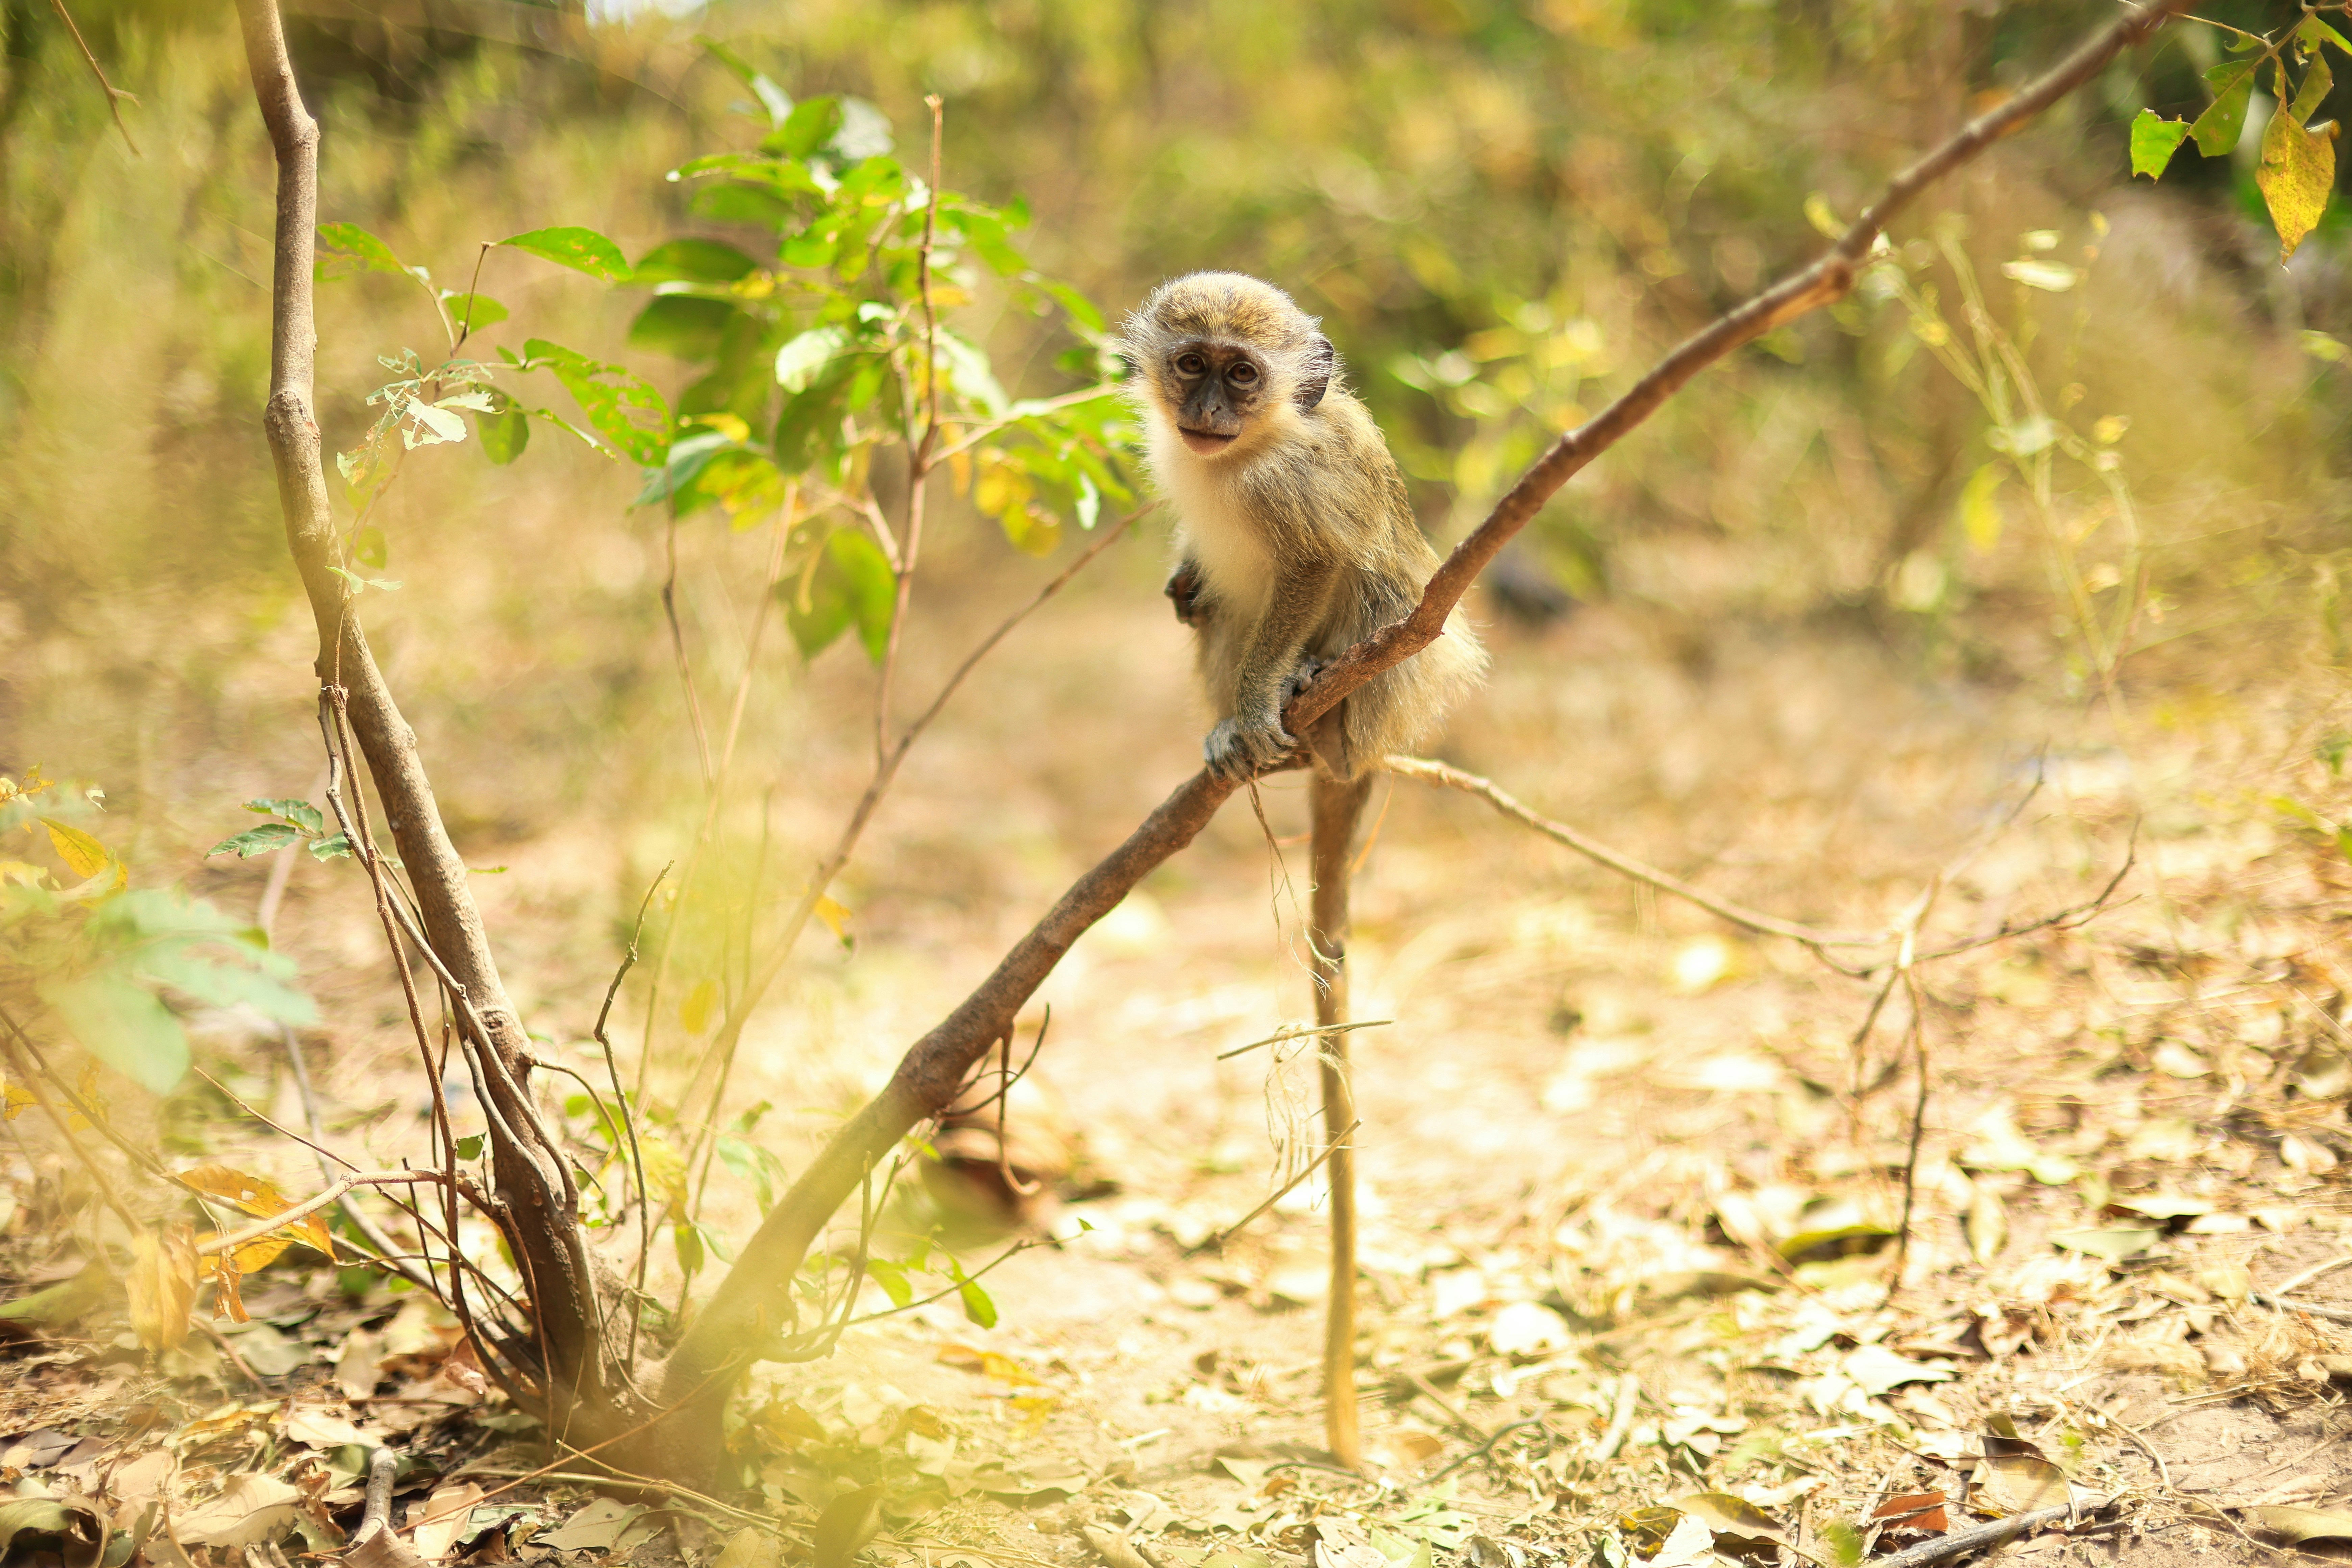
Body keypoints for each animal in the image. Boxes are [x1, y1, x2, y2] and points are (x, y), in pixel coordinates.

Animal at [1121, 271, 1486, 784]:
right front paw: (1183, 571)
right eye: (1192, 364)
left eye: (1242, 374)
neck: (1255, 444)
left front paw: (1256, 704)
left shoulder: (1286, 477)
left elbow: (1316, 564)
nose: (1208, 410)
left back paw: (1319, 715)